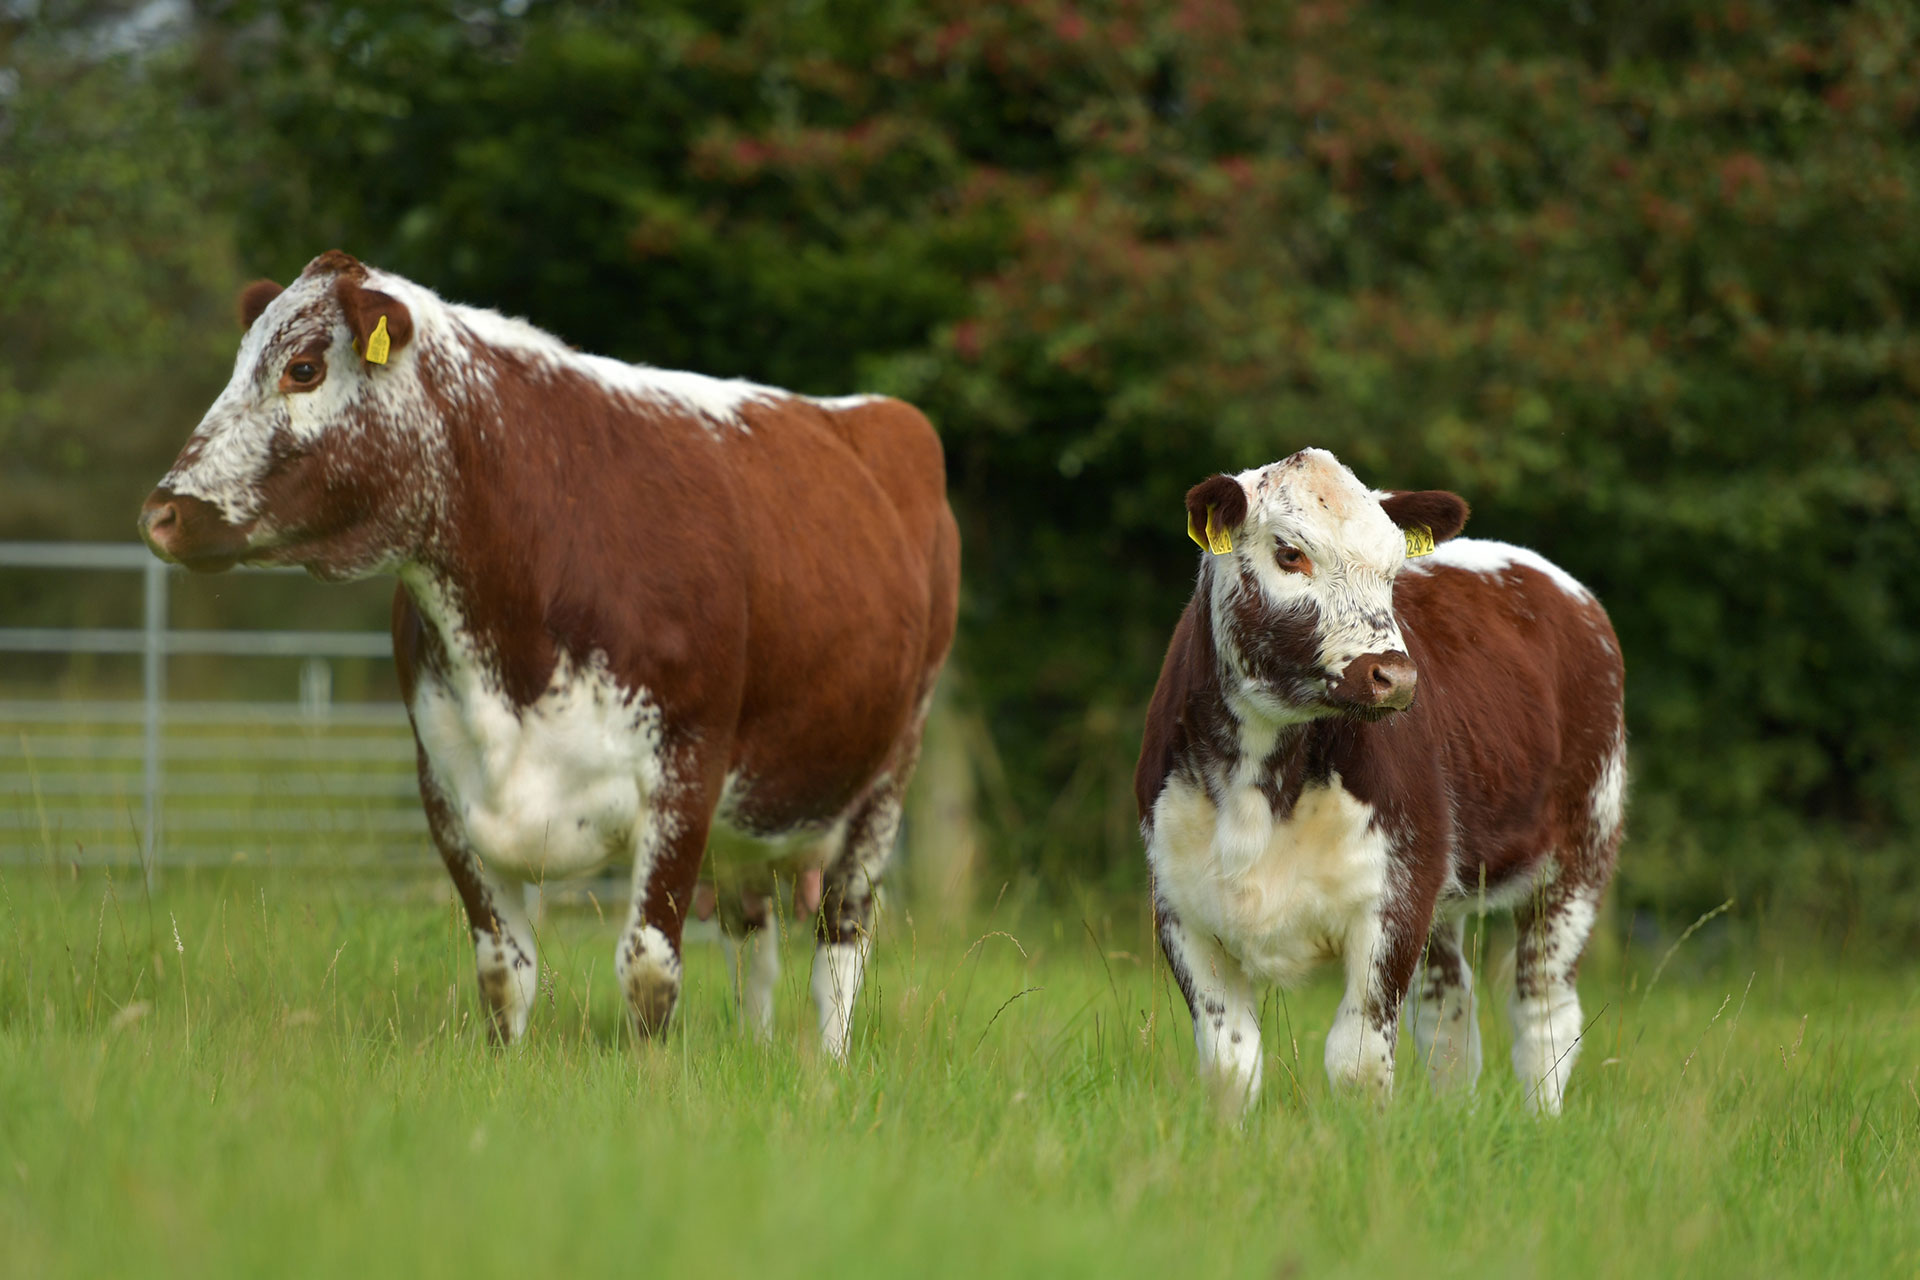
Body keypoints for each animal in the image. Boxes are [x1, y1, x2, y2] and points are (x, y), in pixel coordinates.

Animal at [139, 250, 960, 1057]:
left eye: (303, 368)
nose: (163, 512)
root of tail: (880, 412)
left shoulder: (687, 771)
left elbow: (649, 969)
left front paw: (651, 1075)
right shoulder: (445, 786)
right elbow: (503, 973)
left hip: (887, 775)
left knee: (838, 942)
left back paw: (828, 1066)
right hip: (751, 821)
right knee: (751, 935)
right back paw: (756, 1053)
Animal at [1135, 449, 1625, 1113]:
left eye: (1394, 568)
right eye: (1289, 552)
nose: (1393, 675)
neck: (1258, 790)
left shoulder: (1396, 895)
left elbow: (1358, 1061)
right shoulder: (1180, 905)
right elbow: (1230, 1064)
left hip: (1583, 845)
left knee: (1543, 1006)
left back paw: (1543, 1119)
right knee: (1449, 1012)